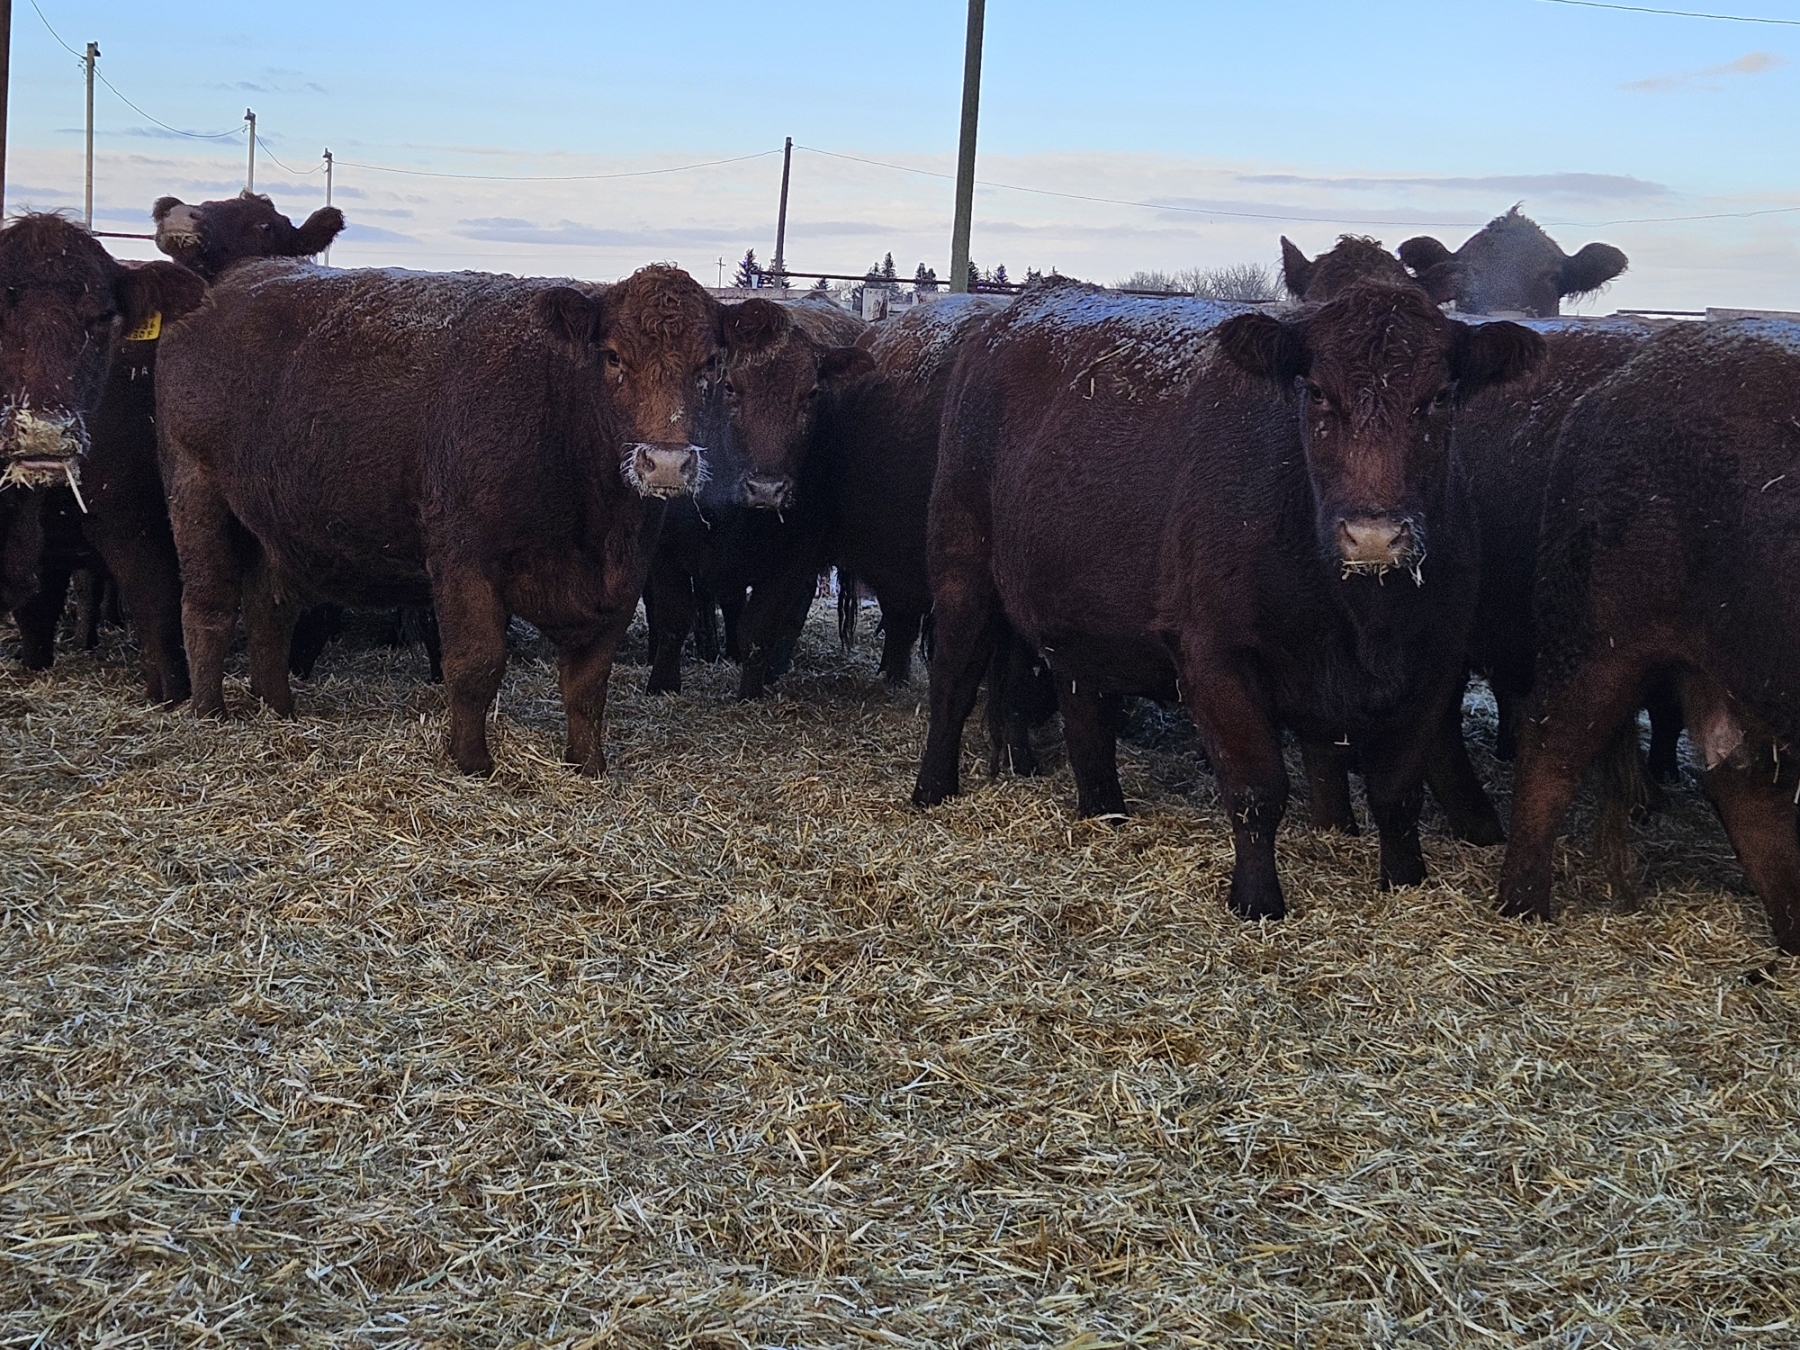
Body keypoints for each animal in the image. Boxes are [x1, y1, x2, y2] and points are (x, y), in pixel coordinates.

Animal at [156, 262, 721, 774]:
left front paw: (589, 765)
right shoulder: (462, 555)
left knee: (269, 612)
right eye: (613, 356)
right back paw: (211, 713)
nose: (665, 462)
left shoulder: (622, 579)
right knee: (208, 606)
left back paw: (279, 710)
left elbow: (588, 683)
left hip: (274, 523)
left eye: (710, 366)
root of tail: (228, 283)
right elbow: (475, 664)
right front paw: (472, 763)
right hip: (197, 492)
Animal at [914, 276, 1545, 920]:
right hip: (961, 568)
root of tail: (1027, 305)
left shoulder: (1435, 664)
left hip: (1078, 618)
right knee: (953, 684)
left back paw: (1105, 811)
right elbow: (1256, 787)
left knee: (1084, 712)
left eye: (1440, 396)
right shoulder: (1215, 654)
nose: (1373, 535)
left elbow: (1396, 791)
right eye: (1316, 392)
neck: (1363, 623)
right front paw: (1258, 899)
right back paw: (932, 791)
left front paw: (1406, 880)